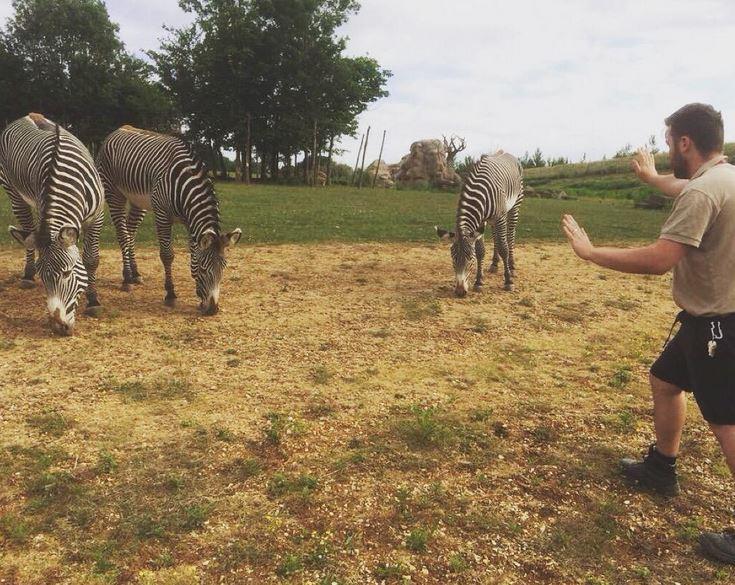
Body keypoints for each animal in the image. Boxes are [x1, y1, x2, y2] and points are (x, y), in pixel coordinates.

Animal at [0, 114, 105, 335]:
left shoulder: (97, 217)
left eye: (67, 273)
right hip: (14, 194)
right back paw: (27, 275)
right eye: (43, 276)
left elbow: (91, 259)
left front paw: (93, 301)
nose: (58, 328)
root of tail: (28, 115)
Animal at [96, 126, 241, 315]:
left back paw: (135, 274)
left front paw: (198, 295)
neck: (184, 186)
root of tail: (118, 130)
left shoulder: (190, 222)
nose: (213, 310)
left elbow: (193, 254)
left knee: (130, 232)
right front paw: (171, 294)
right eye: (204, 268)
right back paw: (127, 279)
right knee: (123, 235)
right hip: (114, 193)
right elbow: (167, 255)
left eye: (223, 267)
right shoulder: (163, 216)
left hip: (138, 202)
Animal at [435, 150, 524, 296]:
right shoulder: (480, 222)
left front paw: (508, 281)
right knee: (495, 237)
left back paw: (512, 267)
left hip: (514, 205)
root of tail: (506, 153)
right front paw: (478, 282)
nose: (460, 292)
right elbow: (480, 251)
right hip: (492, 221)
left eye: (470, 259)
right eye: (453, 259)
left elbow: (503, 248)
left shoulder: (500, 217)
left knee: (510, 236)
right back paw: (494, 264)